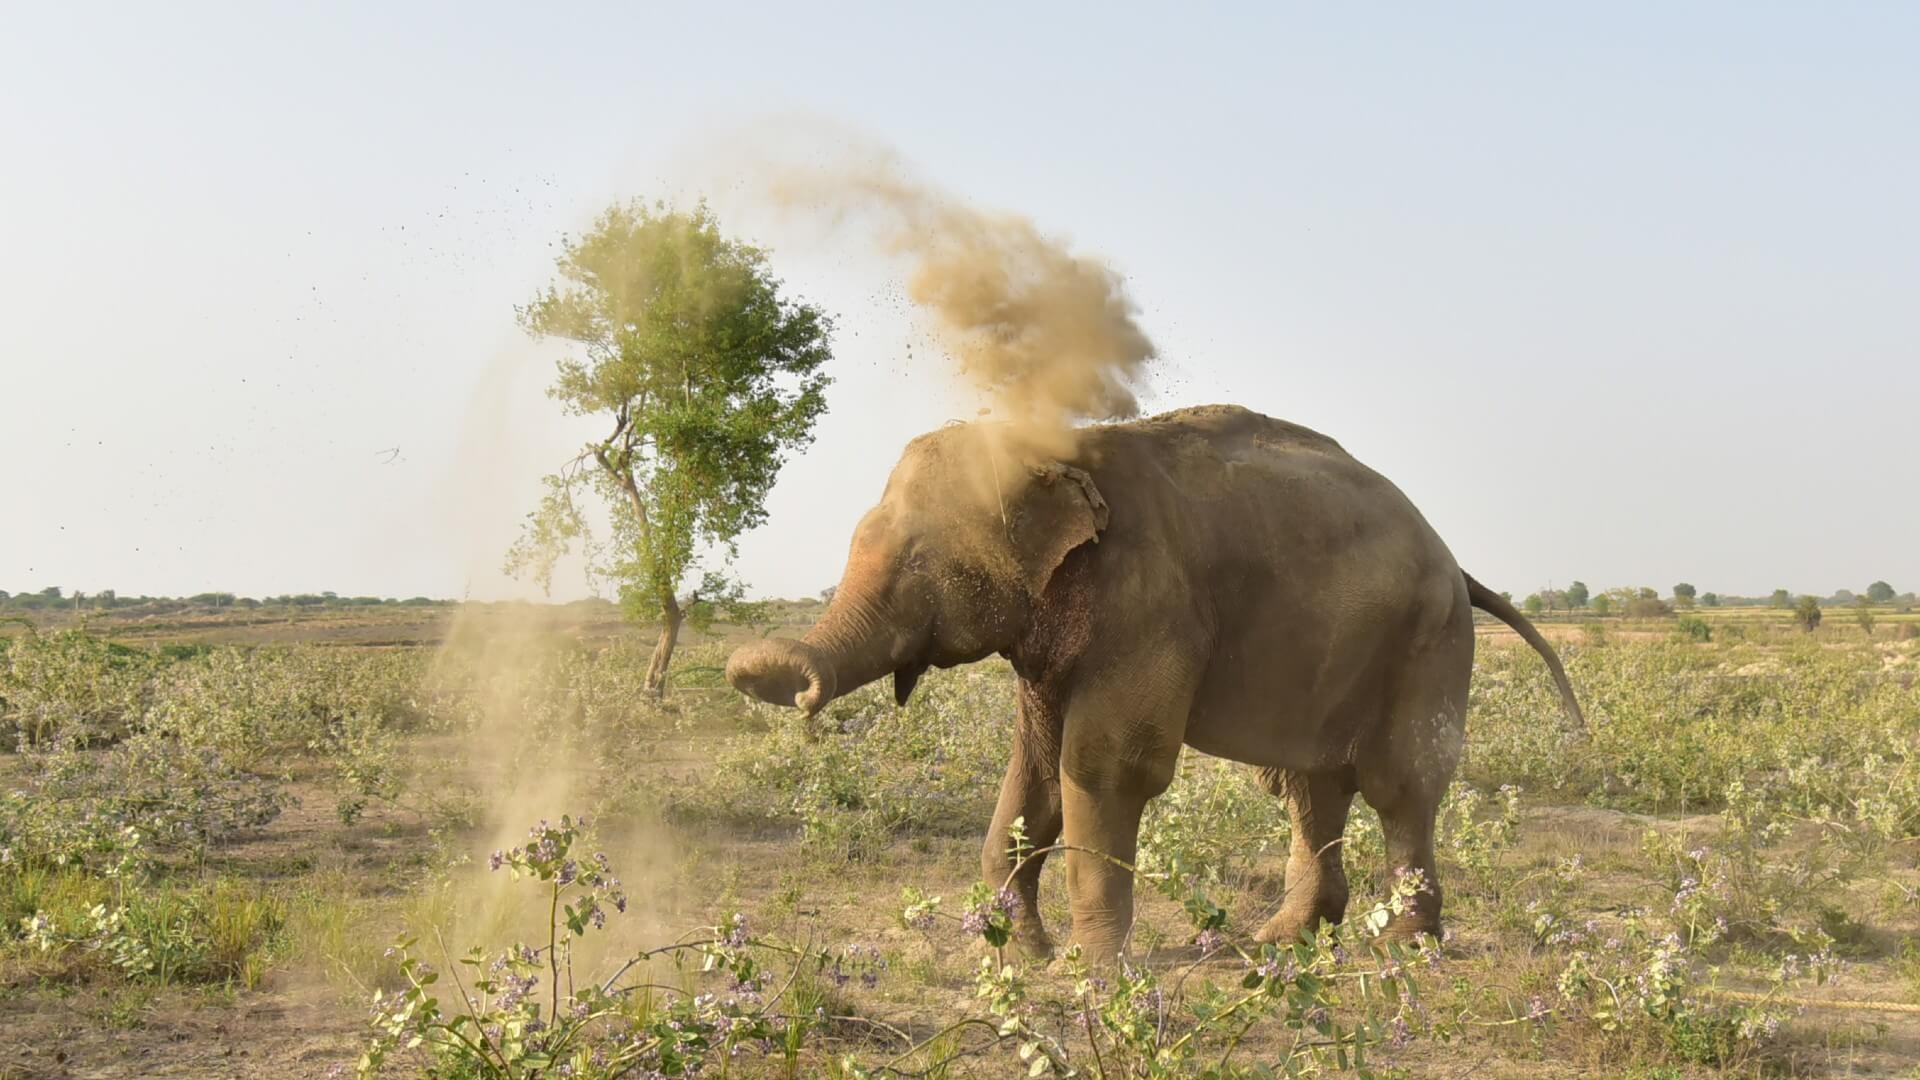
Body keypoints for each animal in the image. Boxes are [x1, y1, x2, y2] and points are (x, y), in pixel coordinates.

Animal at [727, 404, 1581, 960]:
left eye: (916, 563)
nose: (762, 676)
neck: (1060, 451)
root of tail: (1457, 564)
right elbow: (1037, 773)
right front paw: (1018, 955)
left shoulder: (1152, 604)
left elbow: (1105, 767)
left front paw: (1093, 972)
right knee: (1309, 785)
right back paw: (1285, 939)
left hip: (1428, 640)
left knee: (1397, 785)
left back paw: (1405, 949)